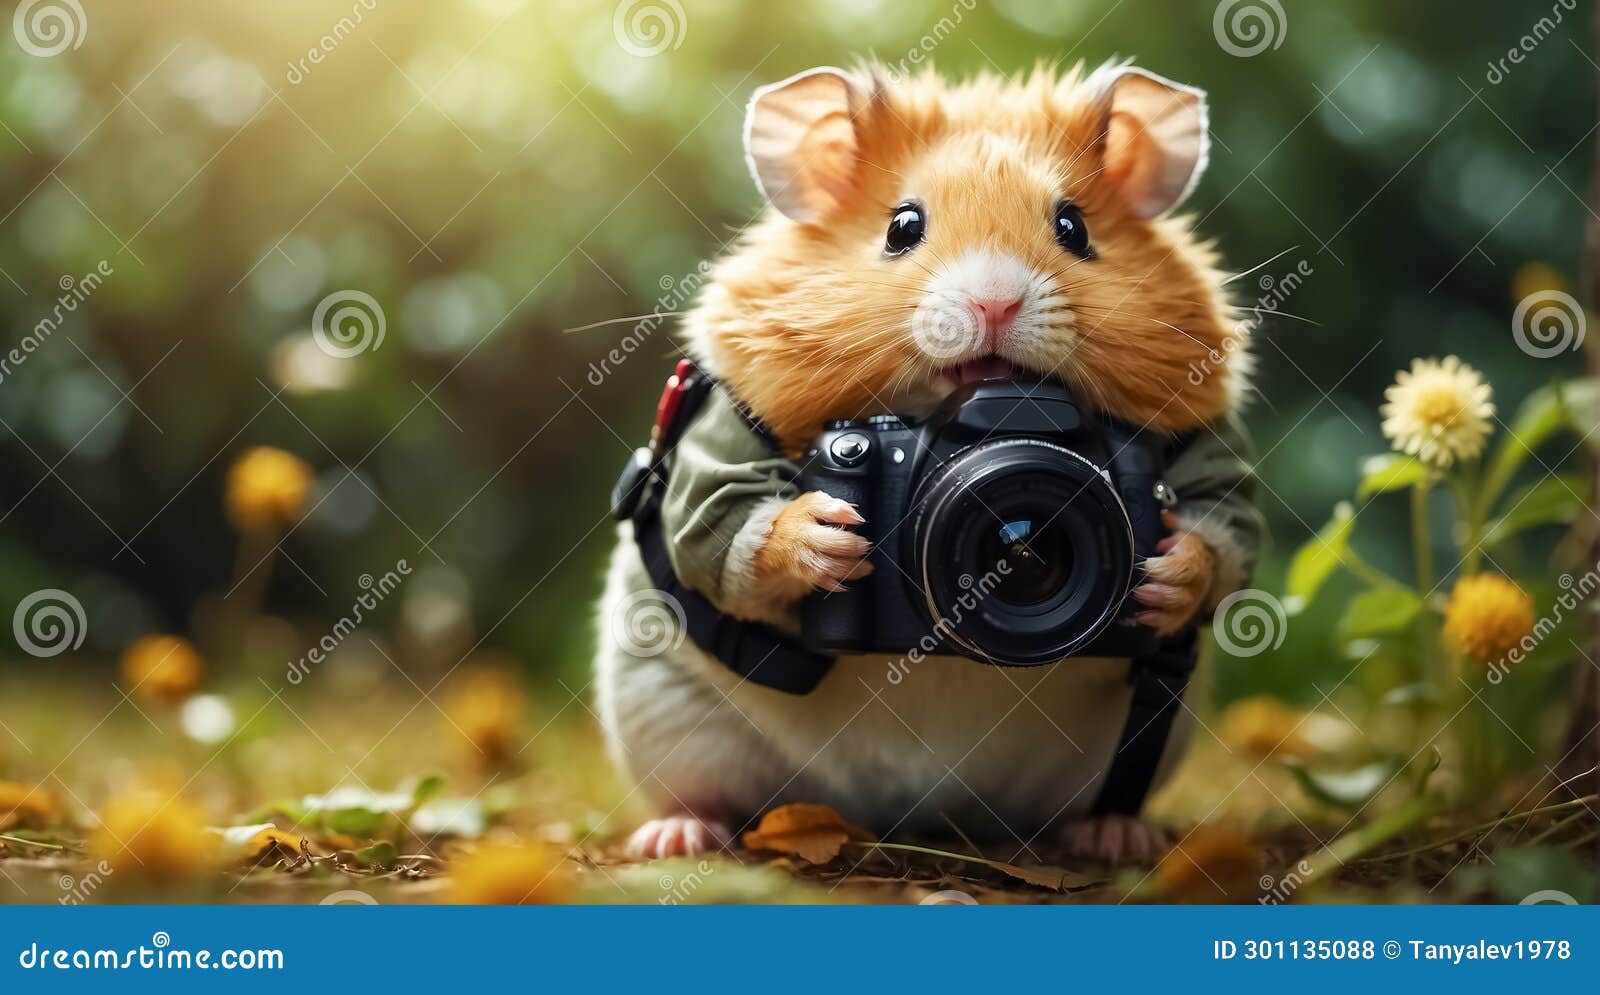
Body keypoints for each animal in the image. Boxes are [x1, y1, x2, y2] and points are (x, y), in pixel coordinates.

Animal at [595, 61, 1259, 864]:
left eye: (1074, 228)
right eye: (901, 228)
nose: (995, 302)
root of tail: (910, 810)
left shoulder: (1207, 451)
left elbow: (1225, 528)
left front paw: (1166, 573)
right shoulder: (719, 448)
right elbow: (721, 526)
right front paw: (824, 536)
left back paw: (1116, 834)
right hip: (668, 718)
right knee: (704, 793)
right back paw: (678, 836)